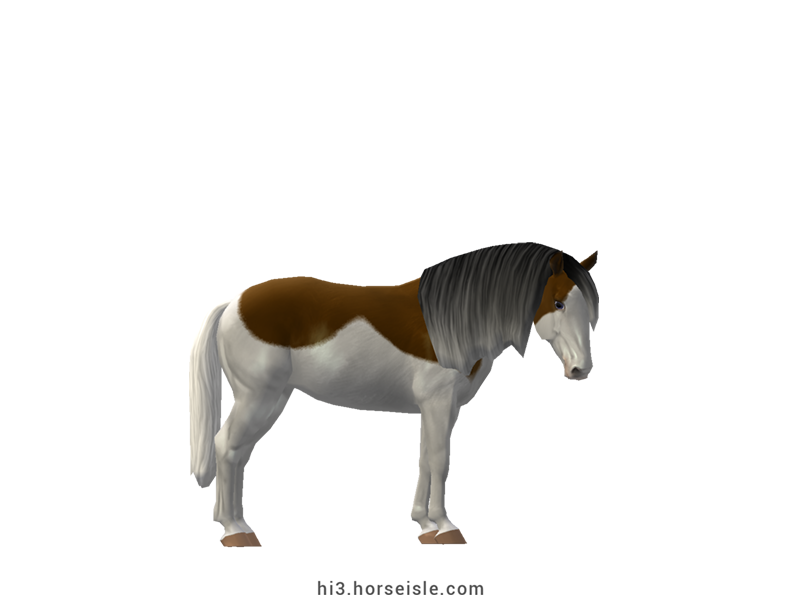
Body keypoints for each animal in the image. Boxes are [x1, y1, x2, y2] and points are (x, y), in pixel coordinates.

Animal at [190, 243, 598, 538]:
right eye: (558, 302)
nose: (580, 368)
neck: (452, 319)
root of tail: (232, 306)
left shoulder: (439, 405)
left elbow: (425, 457)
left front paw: (421, 521)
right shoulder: (437, 400)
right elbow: (439, 459)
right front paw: (443, 524)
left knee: (234, 454)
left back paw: (235, 523)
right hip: (254, 399)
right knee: (225, 447)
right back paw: (230, 529)